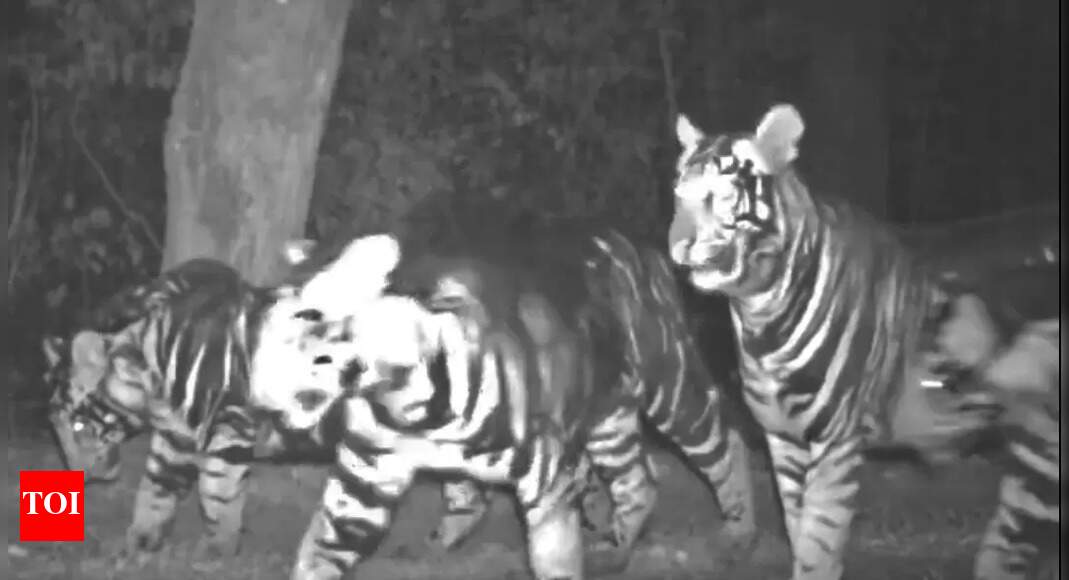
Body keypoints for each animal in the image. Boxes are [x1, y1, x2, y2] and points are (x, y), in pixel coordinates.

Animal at [42, 258, 335, 567]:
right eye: (55, 426)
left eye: (78, 427)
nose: (81, 477)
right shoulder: (175, 433)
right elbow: (157, 487)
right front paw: (140, 543)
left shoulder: (230, 424)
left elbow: (218, 492)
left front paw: (220, 553)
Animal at [248, 217, 758, 580]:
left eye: (306, 319)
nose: (251, 378)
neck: (405, 406)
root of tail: (646, 249)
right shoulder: (364, 481)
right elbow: (319, 554)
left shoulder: (547, 483)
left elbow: (554, 560)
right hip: (608, 421)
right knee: (637, 482)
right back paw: (613, 553)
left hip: (672, 389)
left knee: (724, 444)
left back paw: (738, 532)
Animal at [666, 103, 974, 580]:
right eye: (679, 194)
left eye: (718, 194)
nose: (676, 246)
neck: (758, 316)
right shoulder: (783, 436)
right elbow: (799, 525)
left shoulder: (836, 440)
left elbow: (820, 538)